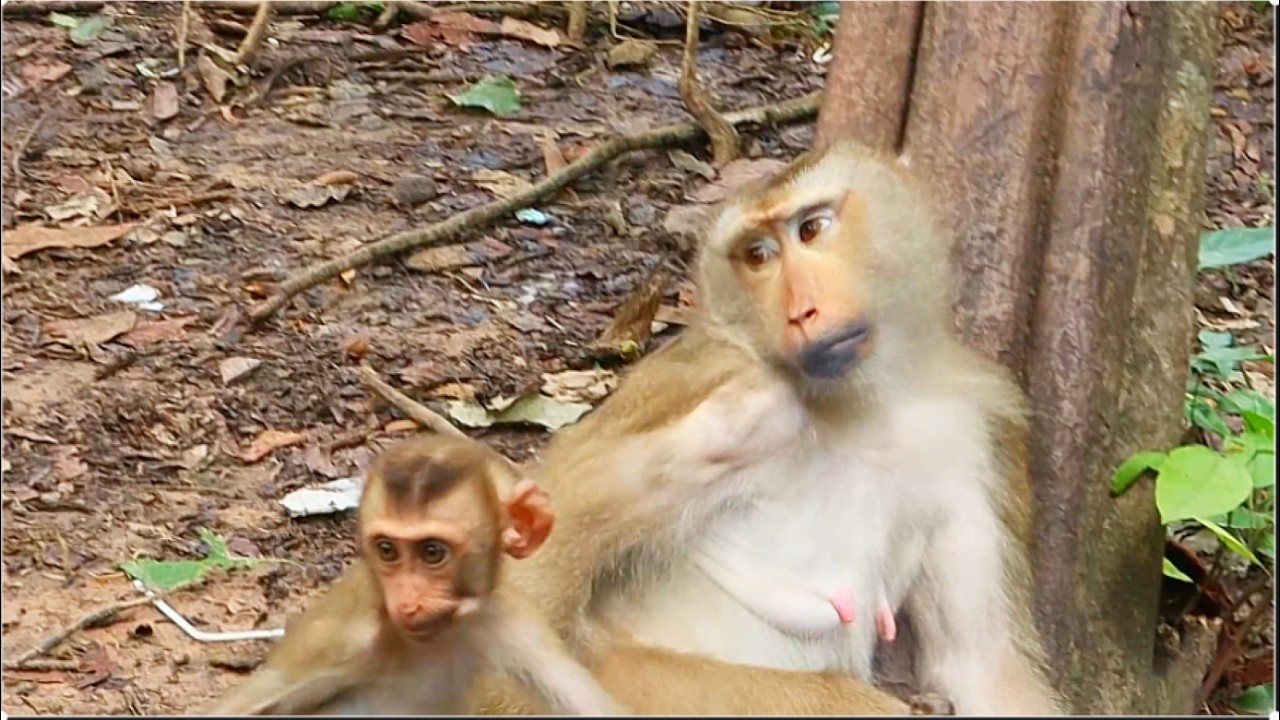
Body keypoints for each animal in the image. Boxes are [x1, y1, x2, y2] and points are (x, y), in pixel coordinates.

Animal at [472, 140, 1062, 716]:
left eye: (812, 228)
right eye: (757, 255)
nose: (802, 312)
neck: (860, 404)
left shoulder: (980, 427)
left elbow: (984, 670)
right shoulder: (726, 387)